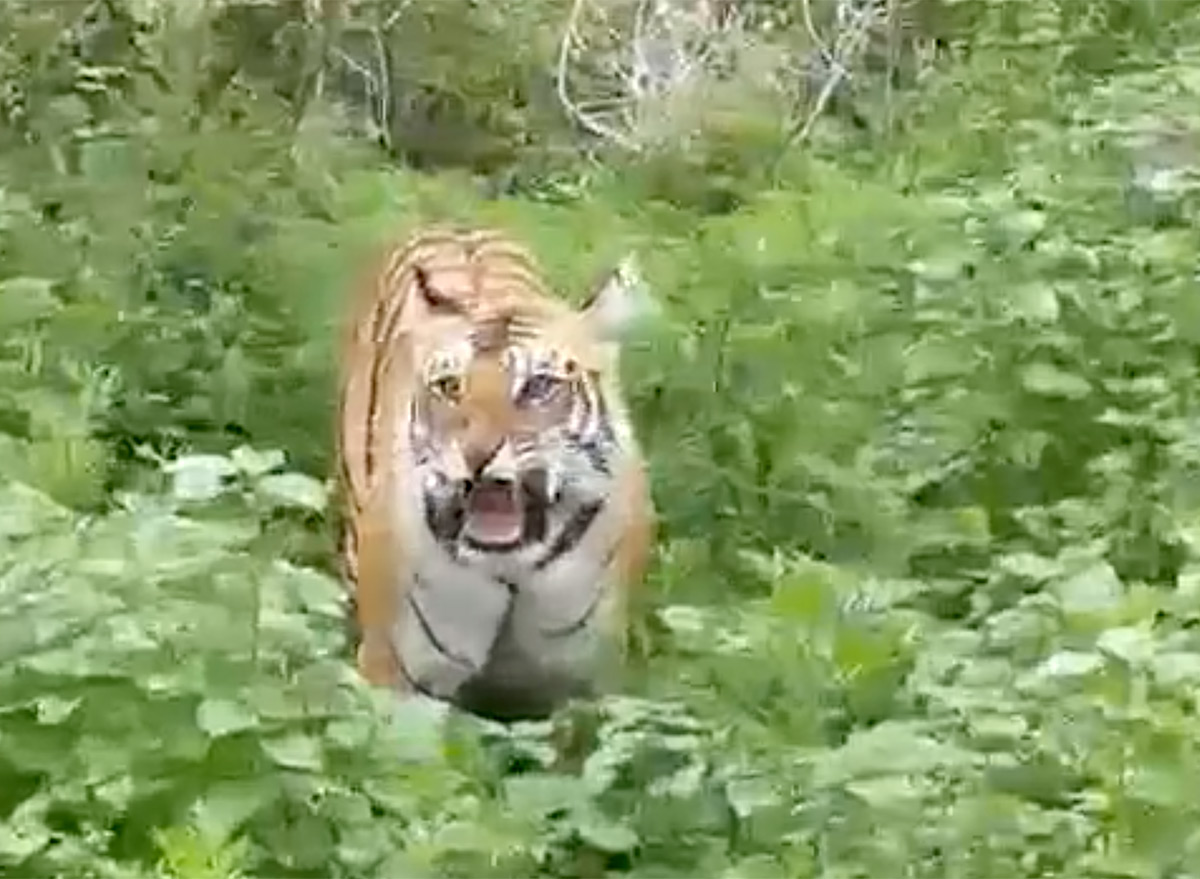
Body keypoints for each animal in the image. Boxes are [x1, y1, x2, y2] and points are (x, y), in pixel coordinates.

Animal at [334, 225, 656, 722]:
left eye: (539, 386)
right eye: (450, 387)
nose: (475, 455)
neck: (510, 565)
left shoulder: (579, 681)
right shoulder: (399, 677)